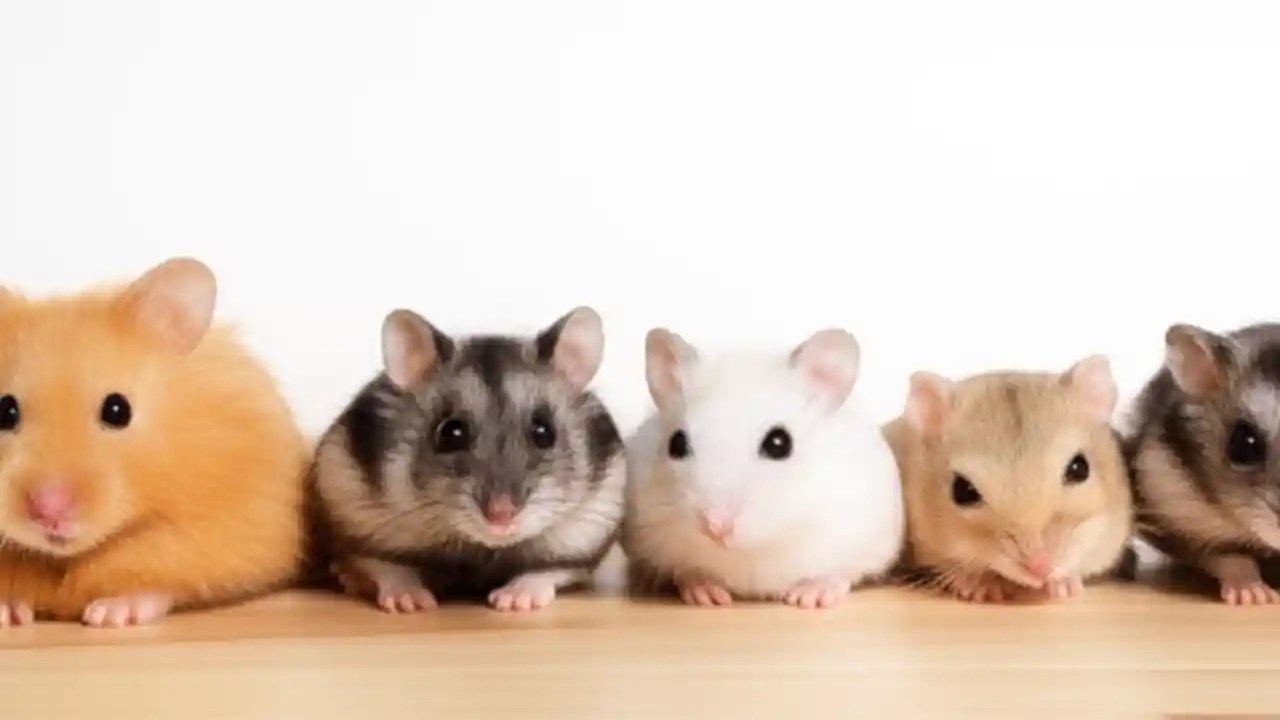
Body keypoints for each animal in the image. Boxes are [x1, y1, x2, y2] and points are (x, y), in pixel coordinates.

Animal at [0, 259, 309, 627]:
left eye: (118, 410)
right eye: (4, 411)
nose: (47, 511)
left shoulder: (223, 531)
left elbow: (157, 579)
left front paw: (110, 615)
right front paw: (6, 612)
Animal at [308, 307, 625, 613]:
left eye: (544, 432)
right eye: (450, 433)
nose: (501, 516)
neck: (481, 547)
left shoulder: (585, 537)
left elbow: (549, 571)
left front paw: (513, 602)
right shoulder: (356, 521)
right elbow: (386, 565)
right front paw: (410, 603)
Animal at [622, 328, 904, 609]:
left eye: (779, 443)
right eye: (677, 443)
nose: (715, 528)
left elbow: (838, 573)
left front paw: (806, 598)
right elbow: (685, 572)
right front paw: (709, 596)